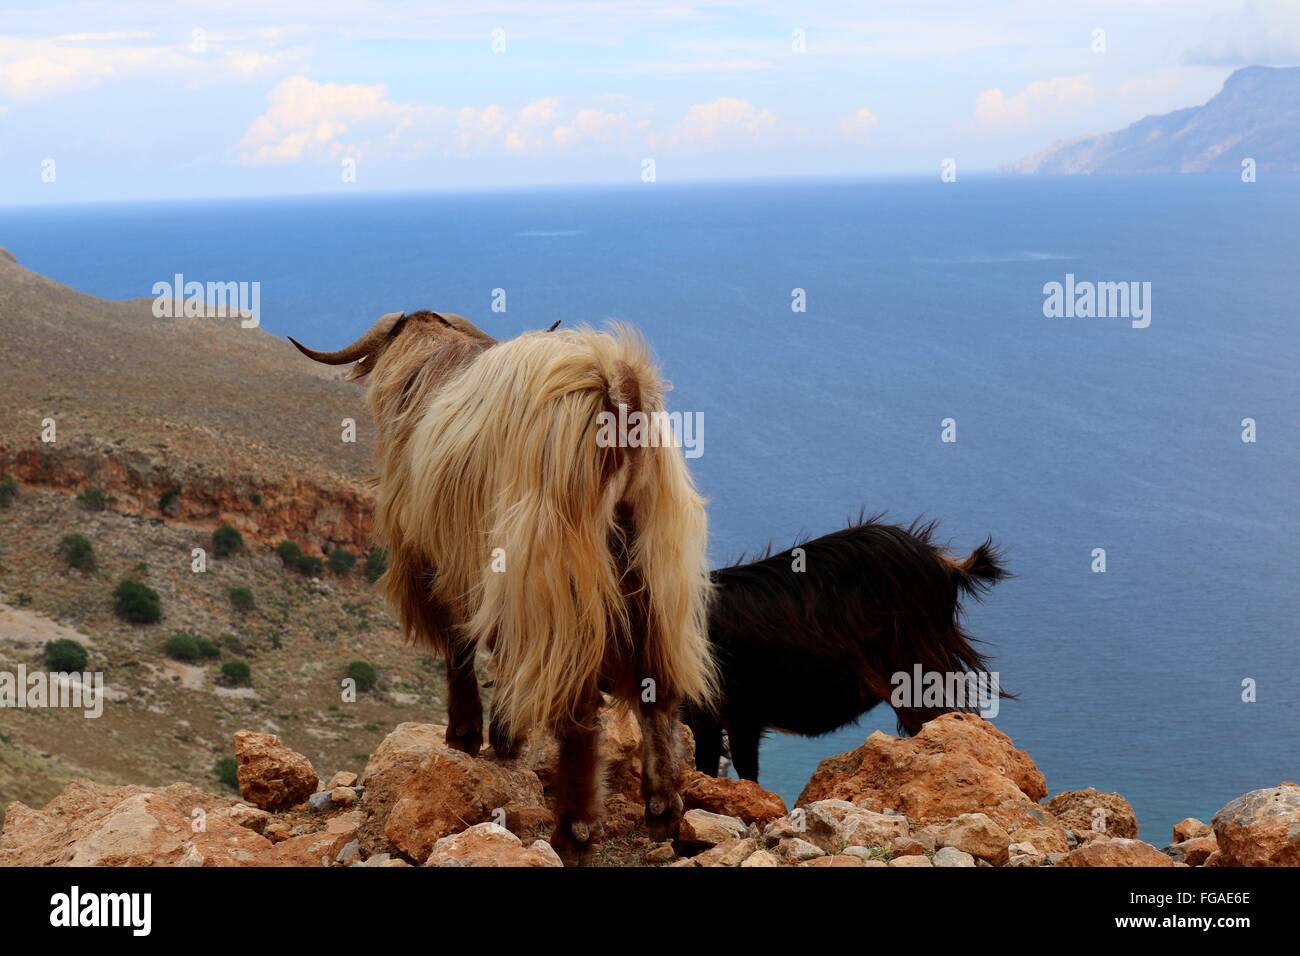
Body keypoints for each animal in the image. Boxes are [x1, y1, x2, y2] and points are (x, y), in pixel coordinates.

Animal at [291, 311, 715, 863]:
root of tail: (618, 390)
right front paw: (505, 737)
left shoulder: (442, 558)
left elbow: (461, 645)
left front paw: (469, 735)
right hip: (652, 564)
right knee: (655, 683)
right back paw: (663, 812)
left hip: (556, 562)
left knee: (579, 702)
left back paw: (574, 832)